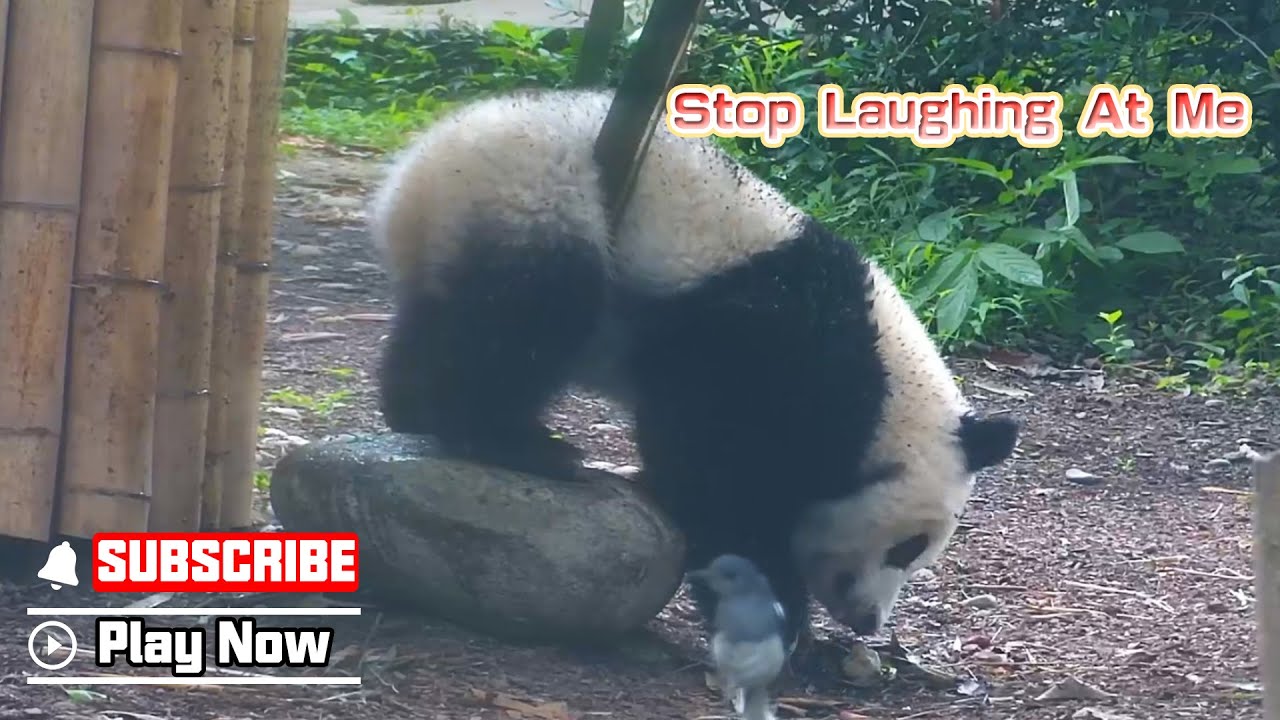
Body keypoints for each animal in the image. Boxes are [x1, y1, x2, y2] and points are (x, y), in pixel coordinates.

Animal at [366, 87, 1020, 649]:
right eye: (908, 547)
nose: (868, 622)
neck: (885, 393)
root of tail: (415, 178)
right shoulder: (766, 351)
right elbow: (715, 477)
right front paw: (778, 619)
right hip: (543, 192)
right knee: (529, 317)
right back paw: (520, 445)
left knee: (444, 324)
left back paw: (413, 407)